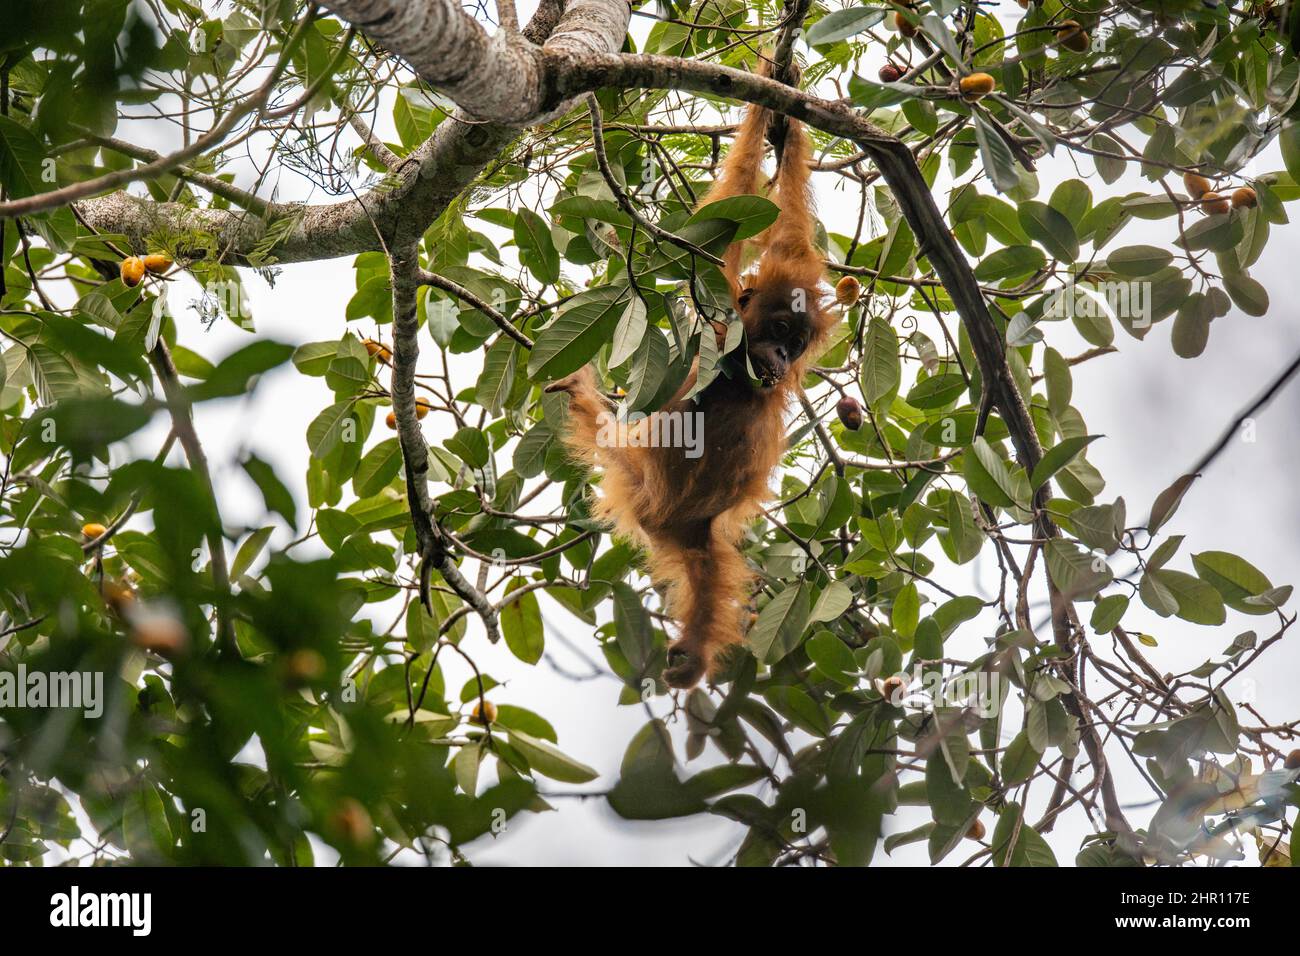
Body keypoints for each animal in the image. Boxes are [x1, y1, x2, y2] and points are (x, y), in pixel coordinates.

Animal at [546, 79, 836, 689]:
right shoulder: (715, 318)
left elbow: (791, 233)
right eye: (779, 331)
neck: (736, 380)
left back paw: (691, 655)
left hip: (694, 531)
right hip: (643, 479)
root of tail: (654, 515)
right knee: (611, 440)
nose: (781, 357)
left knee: (707, 577)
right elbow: (745, 204)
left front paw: (787, 125)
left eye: (799, 344)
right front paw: (770, 115)